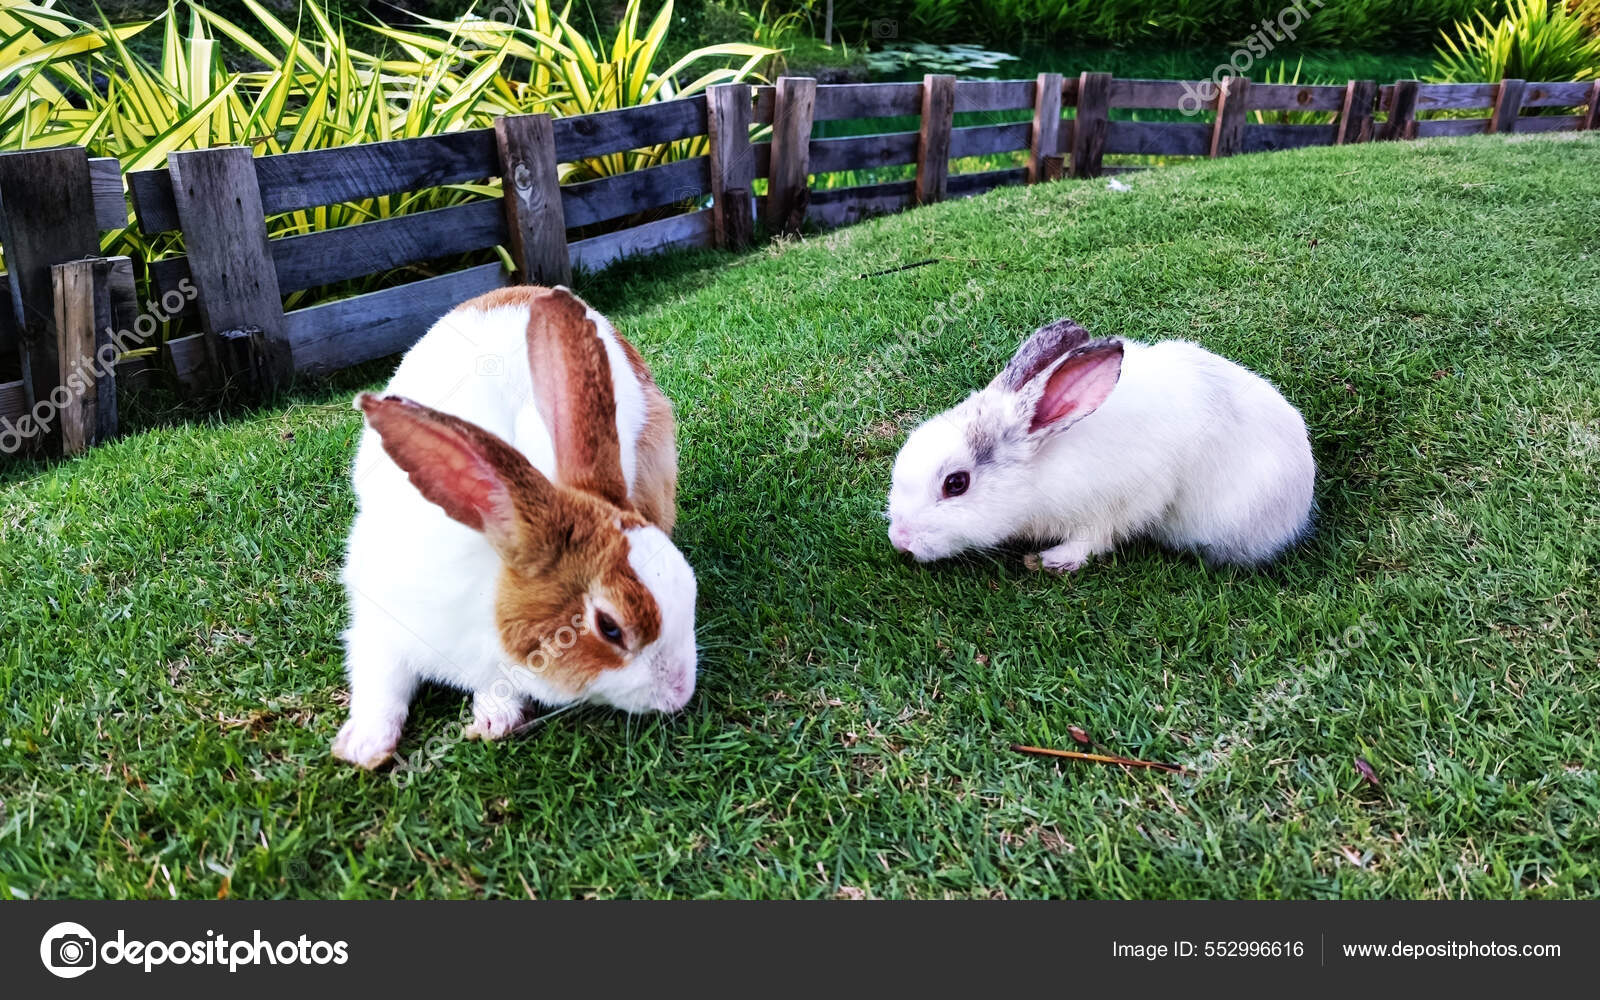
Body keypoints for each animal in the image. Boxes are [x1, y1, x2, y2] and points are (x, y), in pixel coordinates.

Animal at [332, 286, 697, 769]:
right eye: (610, 627)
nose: (681, 693)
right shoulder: (376, 621)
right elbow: (380, 681)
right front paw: (364, 747)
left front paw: (493, 720)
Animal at [886, 318, 1314, 572]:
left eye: (956, 484)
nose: (899, 540)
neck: (1041, 465)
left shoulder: (1119, 503)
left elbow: (1094, 541)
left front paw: (1050, 561)